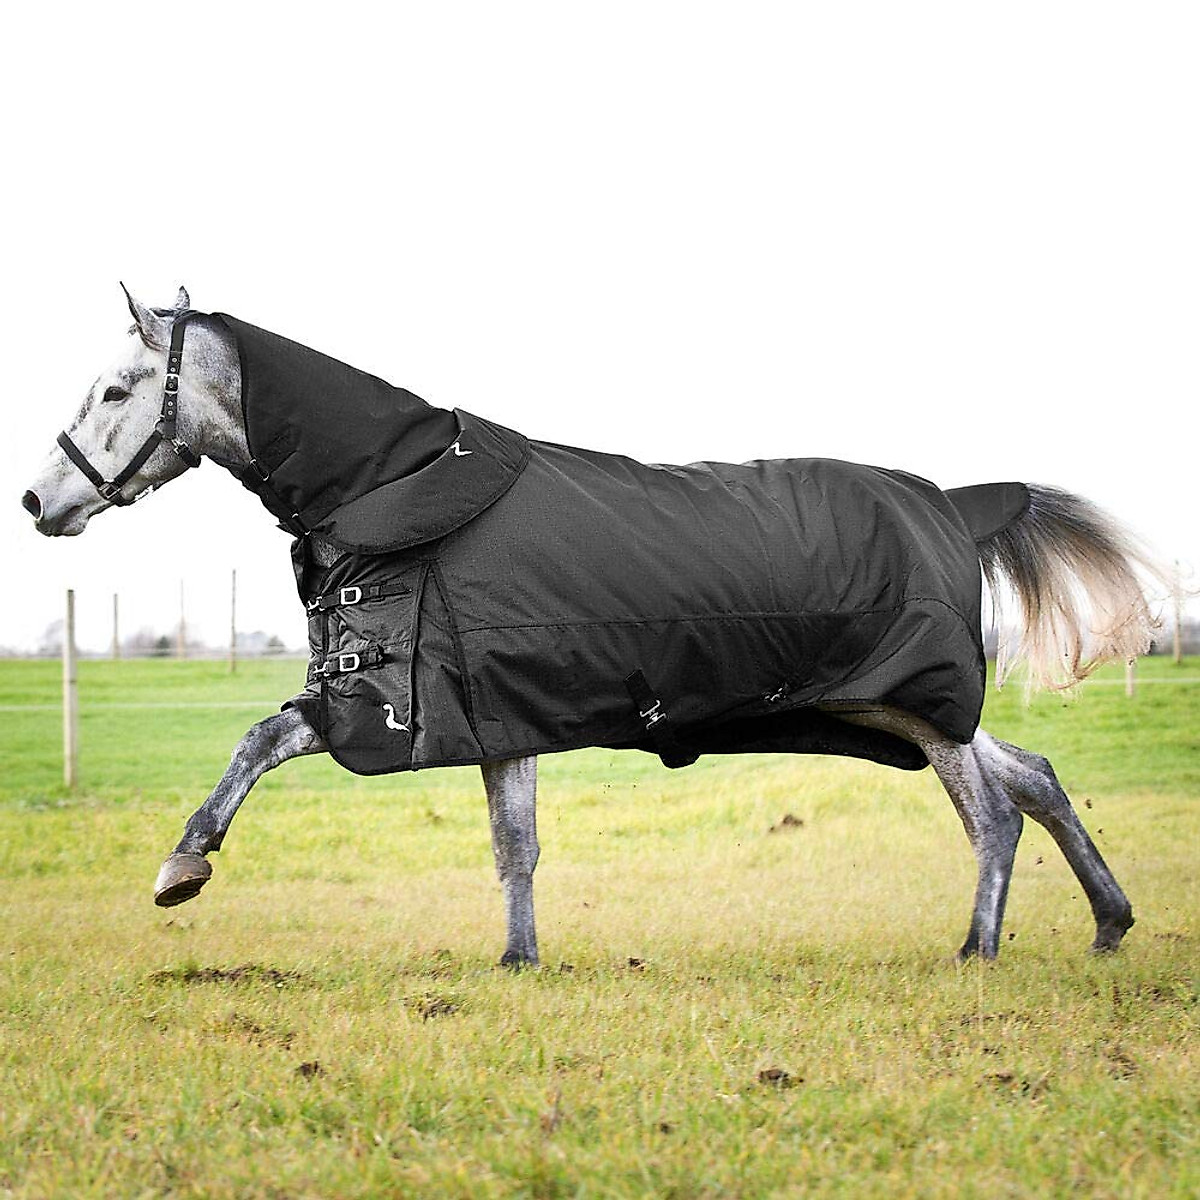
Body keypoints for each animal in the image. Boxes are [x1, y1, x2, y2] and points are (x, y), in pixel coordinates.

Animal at [21, 285, 1161, 967]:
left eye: (117, 389)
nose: (40, 502)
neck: (399, 487)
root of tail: (958, 504)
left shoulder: (455, 703)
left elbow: (512, 843)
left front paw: (516, 957)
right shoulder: (437, 704)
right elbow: (277, 745)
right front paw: (185, 865)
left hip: (919, 704)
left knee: (996, 815)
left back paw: (978, 951)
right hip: (886, 709)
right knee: (1034, 777)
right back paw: (1108, 924)